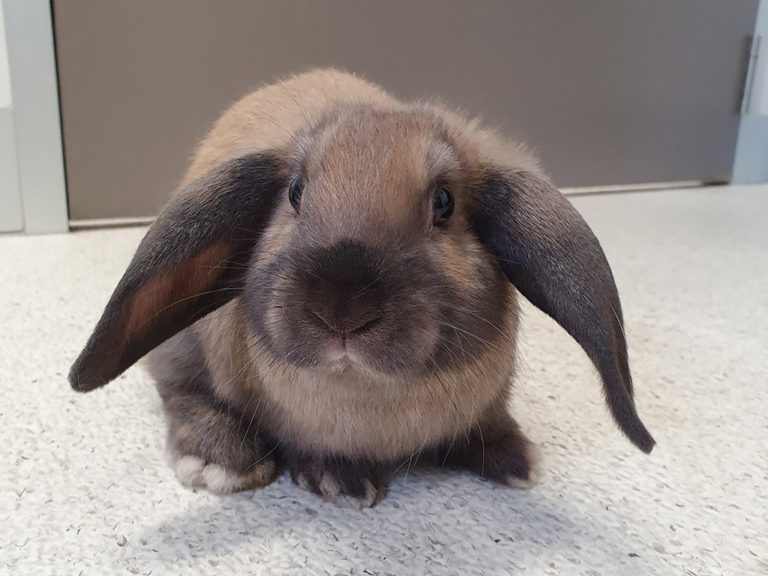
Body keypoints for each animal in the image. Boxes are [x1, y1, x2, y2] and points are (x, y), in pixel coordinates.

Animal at [69, 69, 654, 508]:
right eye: (295, 192)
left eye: (444, 203)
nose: (342, 307)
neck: (369, 397)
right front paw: (338, 479)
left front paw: (517, 460)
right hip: (182, 340)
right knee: (177, 387)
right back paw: (222, 461)